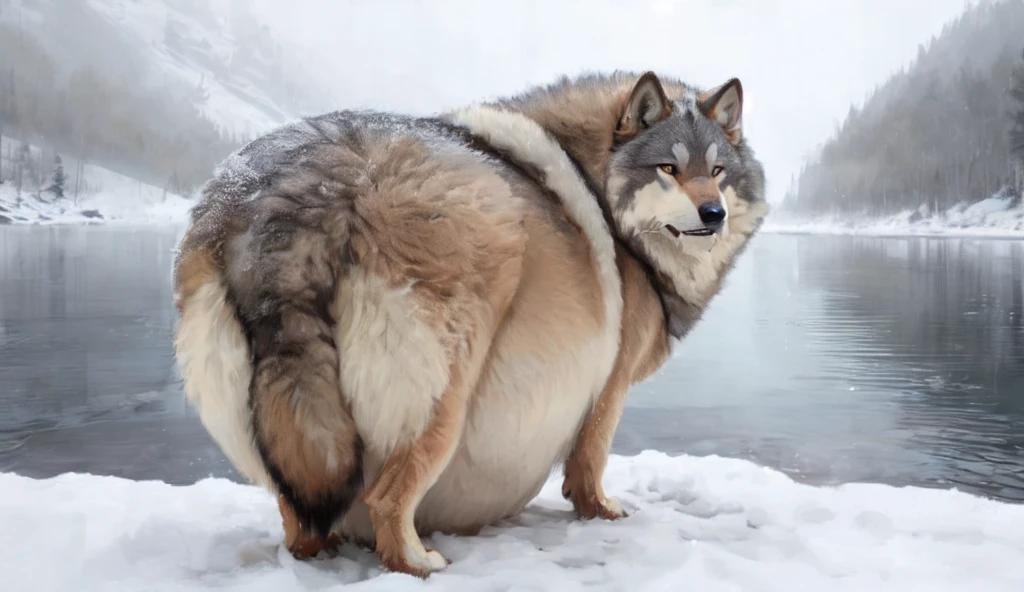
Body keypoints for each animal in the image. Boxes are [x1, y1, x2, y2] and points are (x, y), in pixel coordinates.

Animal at [171, 70, 768, 578]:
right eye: (669, 168)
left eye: (717, 171)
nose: (713, 214)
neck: (604, 193)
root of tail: (303, 185)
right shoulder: (610, 382)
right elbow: (590, 461)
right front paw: (603, 511)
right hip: (443, 395)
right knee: (386, 499)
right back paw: (419, 563)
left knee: (297, 510)